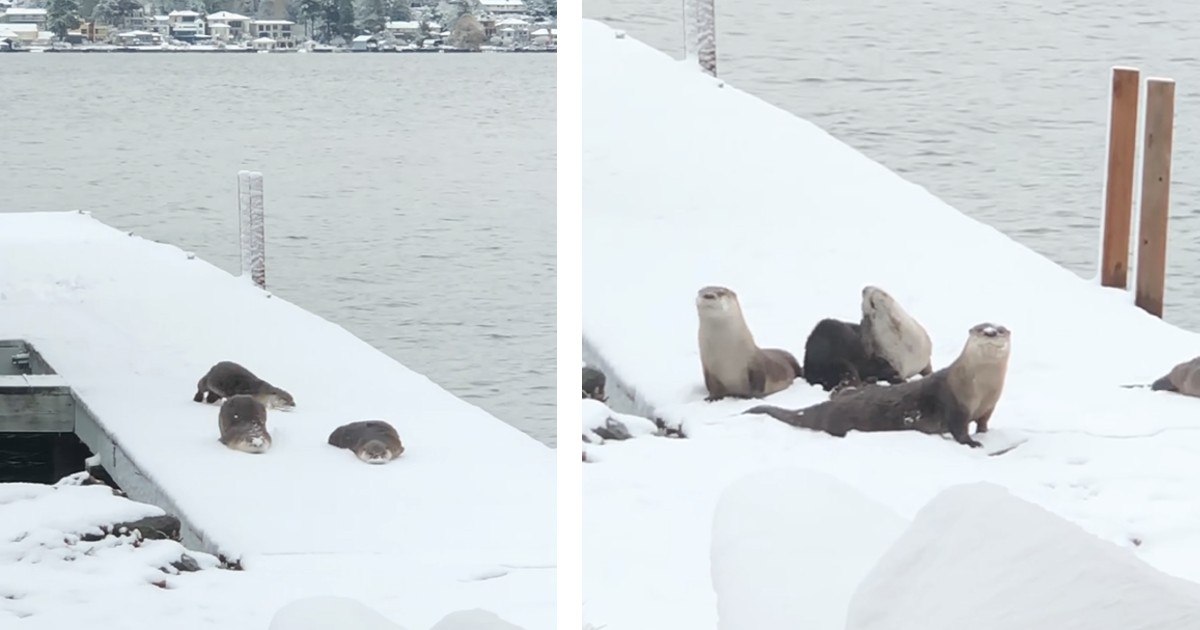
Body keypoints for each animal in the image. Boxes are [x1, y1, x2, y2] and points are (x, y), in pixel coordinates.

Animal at [748, 323, 1012, 448]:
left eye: (1000, 330)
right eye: (981, 329)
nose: (991, 332)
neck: (982, 388)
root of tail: (829, 408)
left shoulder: (990, 406)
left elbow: (984, 422)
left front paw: (985, 433)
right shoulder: (955, 403)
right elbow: (959, 429)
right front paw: (973, 443)